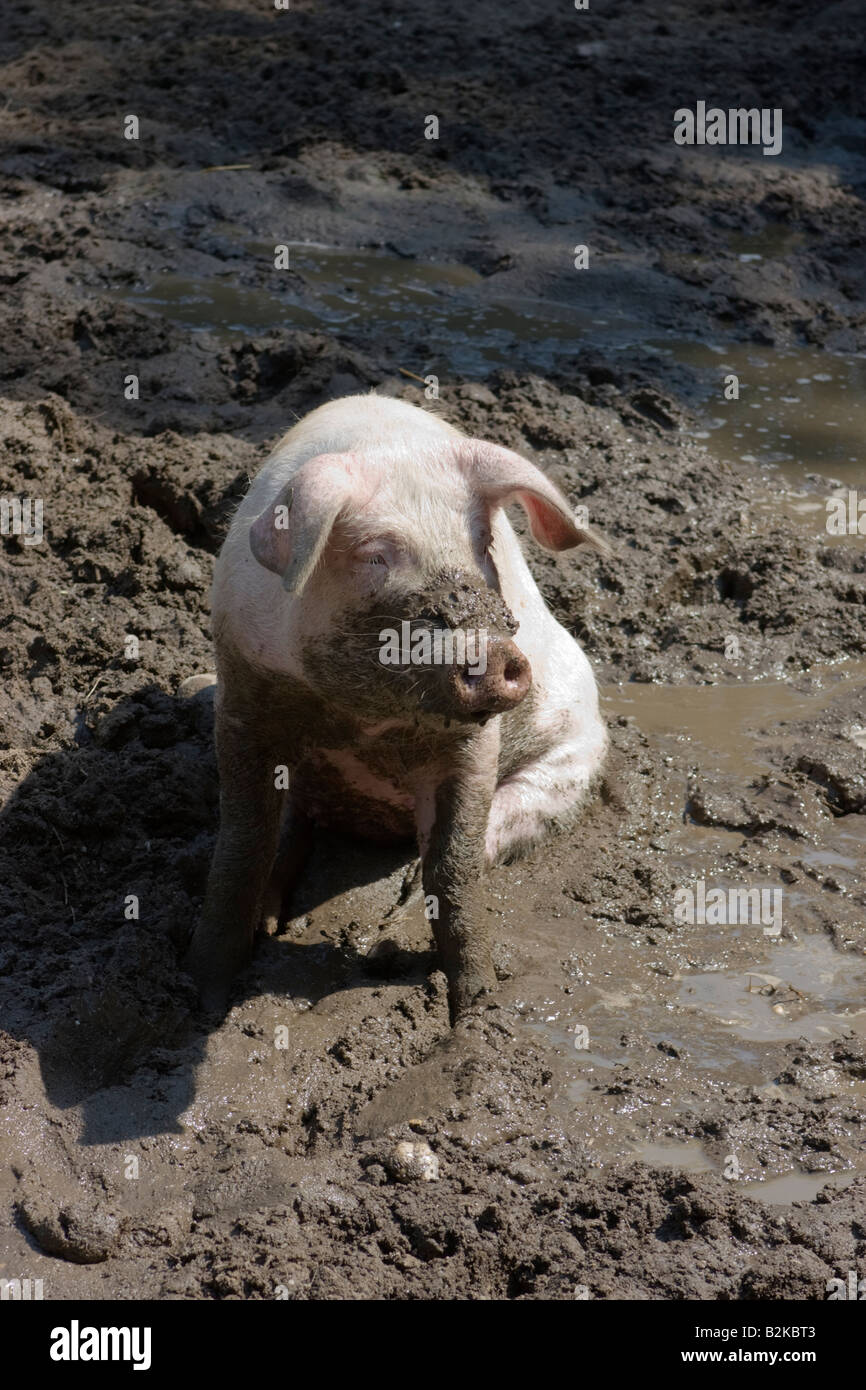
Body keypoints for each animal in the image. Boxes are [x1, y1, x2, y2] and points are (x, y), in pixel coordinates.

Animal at [185, 394, 609, 1020]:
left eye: (483, 543)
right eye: (375, 555)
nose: (492, 654)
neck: (365, 719)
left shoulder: (473, 743)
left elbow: (454, 866)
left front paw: (476, 1005)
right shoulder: (244, 698)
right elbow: (242, 845)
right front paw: (202, 992)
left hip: (570, 764)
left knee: (482, 843)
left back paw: (383, 943)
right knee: (291, 832)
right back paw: (270, 922)